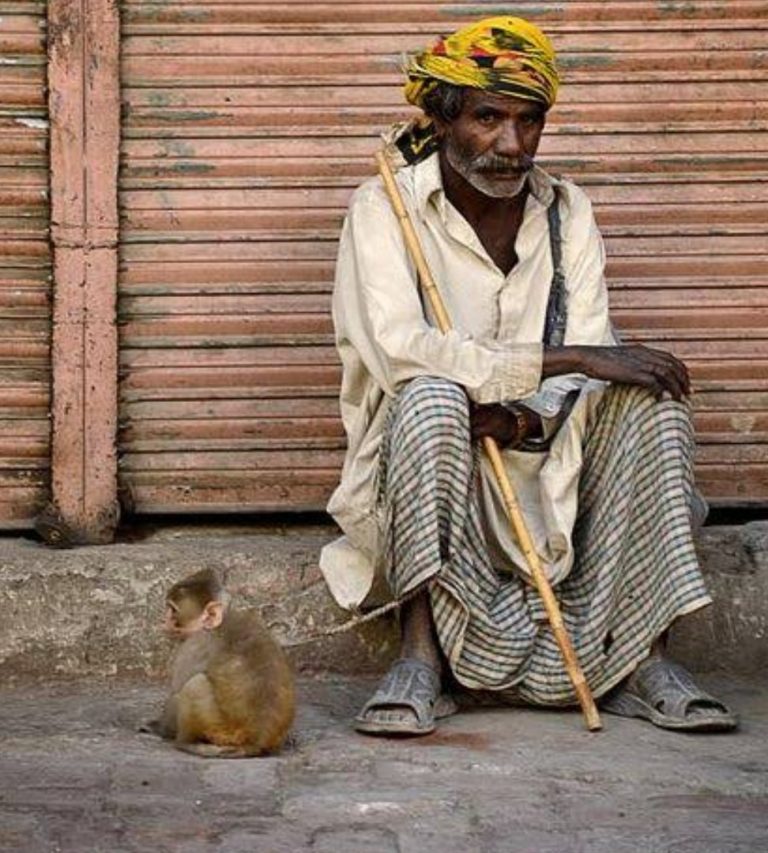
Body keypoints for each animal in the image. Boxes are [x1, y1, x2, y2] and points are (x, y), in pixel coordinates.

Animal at [148, 568, 295, 758]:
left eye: (173, 610)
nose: (164, 621)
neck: (219, 622)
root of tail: (256, 742)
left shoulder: (194, 645)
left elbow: (176, 693)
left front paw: (158, 728)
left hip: (222, 730)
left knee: (196, 684)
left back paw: (187, 743)